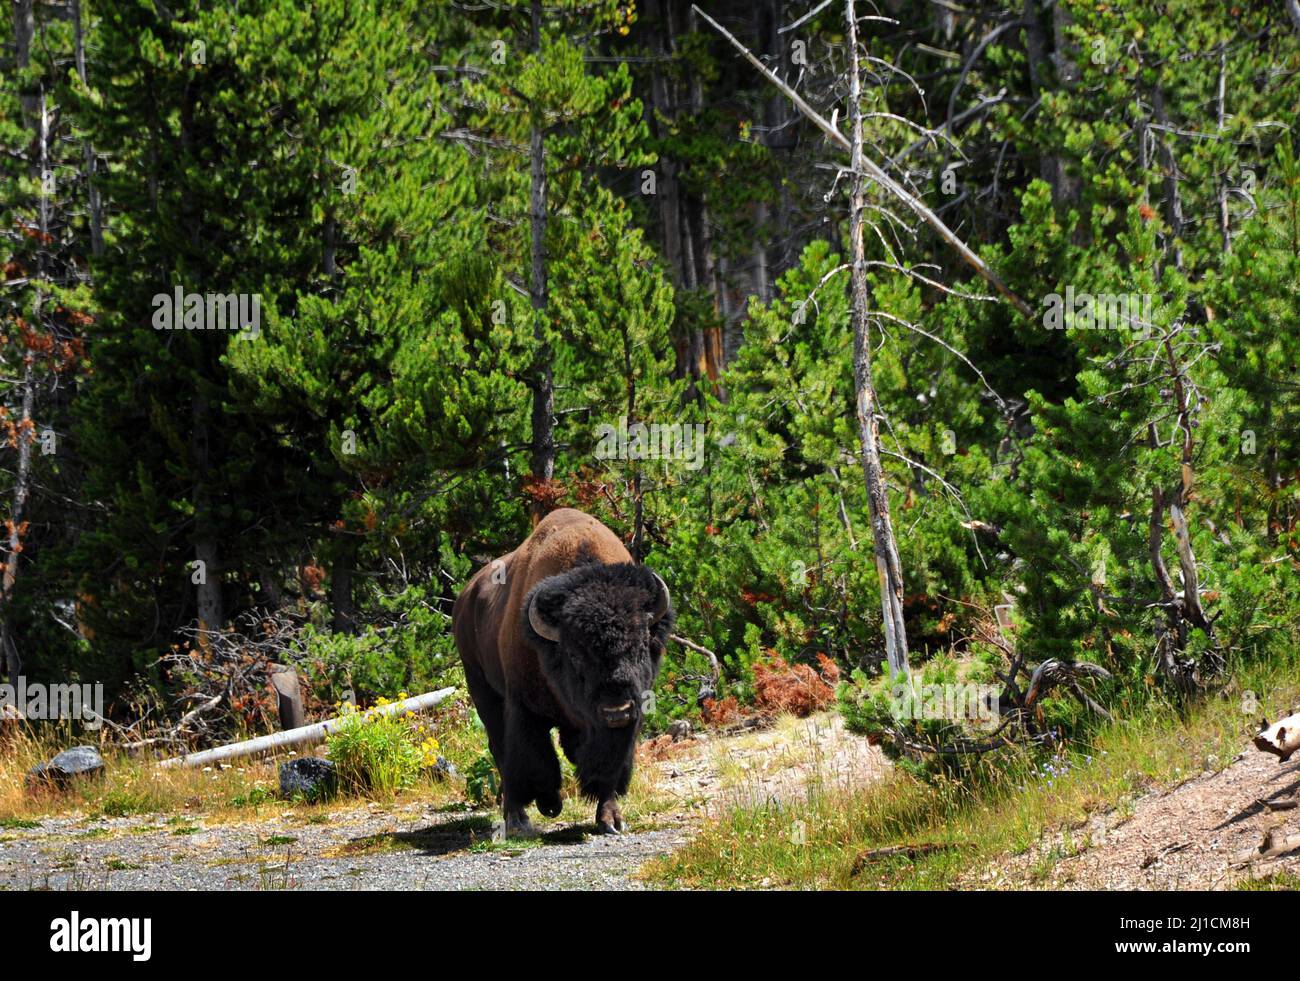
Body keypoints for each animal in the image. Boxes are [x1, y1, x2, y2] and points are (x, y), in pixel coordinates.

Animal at [452, 508, 674, 836]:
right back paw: (517, 818)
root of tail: (464, 599)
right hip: (482, 690)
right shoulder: (524, 709)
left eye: (642, 643)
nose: (616, 711)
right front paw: (549, 804)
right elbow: (535, 760)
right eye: (575, 655)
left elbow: (608, 766)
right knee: (502, 752)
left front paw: (611, 820)